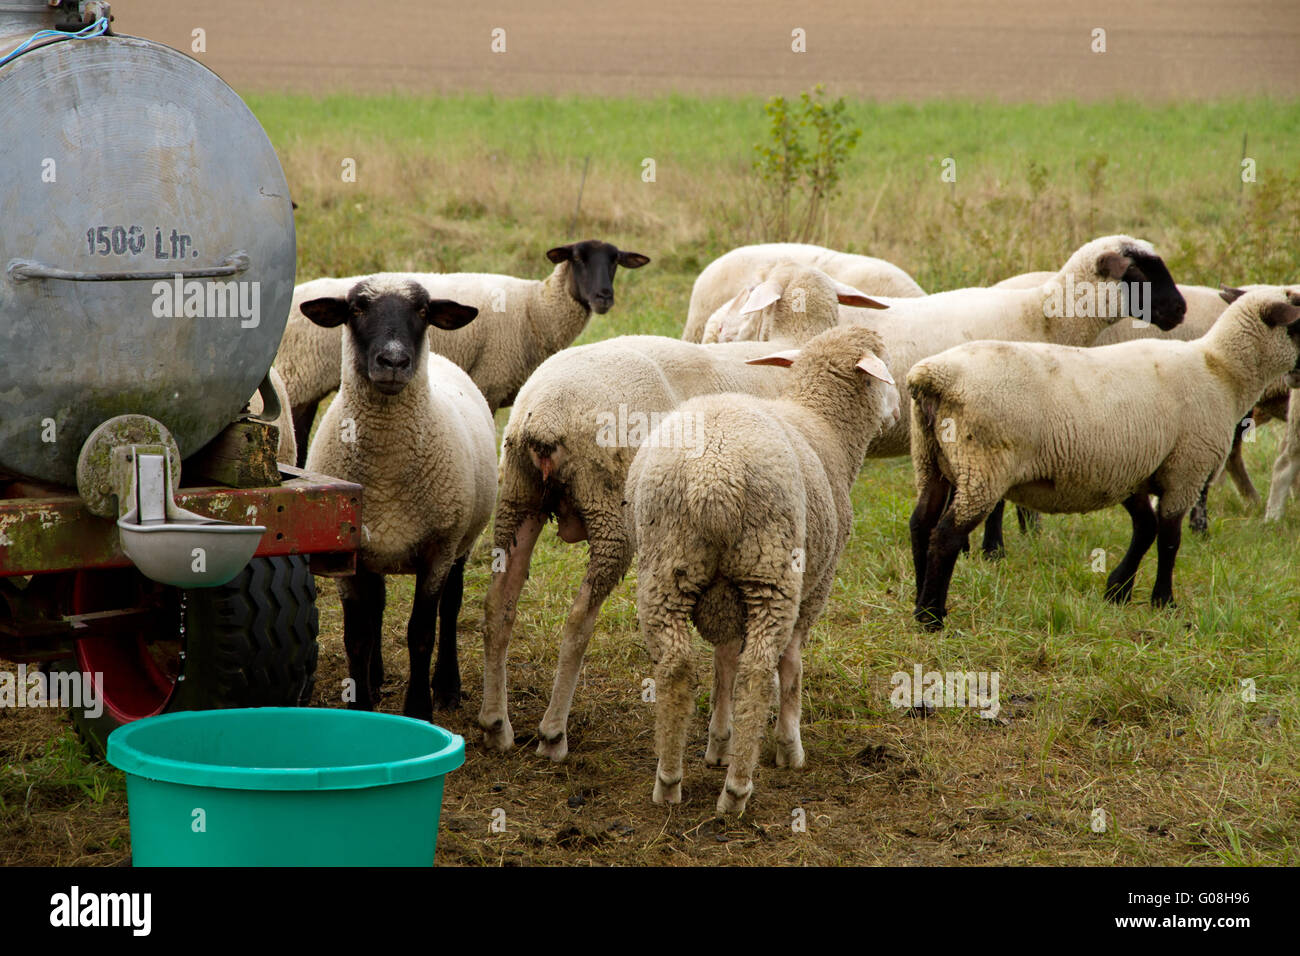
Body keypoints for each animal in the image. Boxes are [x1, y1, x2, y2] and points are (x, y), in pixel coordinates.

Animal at [275, 241, 650, 463]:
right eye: (577, 258)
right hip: (299, 376)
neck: (537, 308)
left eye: (615, 262)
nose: (604, 297)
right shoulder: (489, 382)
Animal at [300, 277, 497, 718]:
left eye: (423, 311)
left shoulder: (438, 549)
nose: (393, 360)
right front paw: (361, 705)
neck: (387, 474)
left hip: (463, 540)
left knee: (451, 607)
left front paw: (420, 709)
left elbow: (421, 633)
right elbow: (356, 636)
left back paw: (447, 686)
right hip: (374, 553)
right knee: (376, 608)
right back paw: (374, 679)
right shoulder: (348, 553)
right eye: (356, 309)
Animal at [479, 265, 866, 761]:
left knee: (499, 604)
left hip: (519, 496)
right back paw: (553, 733)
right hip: (612, 515)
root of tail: (544, 415)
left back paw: (496, 724)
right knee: (578, 621)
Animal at [627, 325, 899, 814]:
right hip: (771, 568)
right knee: (758, 671)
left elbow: (723, 662)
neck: (824, 422)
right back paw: (737, 789)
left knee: (675, 668)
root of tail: (711, 479)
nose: (899, 409)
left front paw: (719, 741)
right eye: (885, 366)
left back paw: (669, 780)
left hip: (666, 567)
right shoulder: (817, 584)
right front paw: (787, 746)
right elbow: (790, 665)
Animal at [907, 288, 1300, 630]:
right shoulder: (1185, 470)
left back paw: (918, 602)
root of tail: (934, 376)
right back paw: (932, 617)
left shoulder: (1133, 472)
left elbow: (1145, 529)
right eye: (1298, 325)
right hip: (983, 465)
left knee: (921, 523)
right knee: (946, 535)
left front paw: (1117, 590)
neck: (1221, 371)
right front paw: (1163, 601)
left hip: (931, 459)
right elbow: (1169, 538)